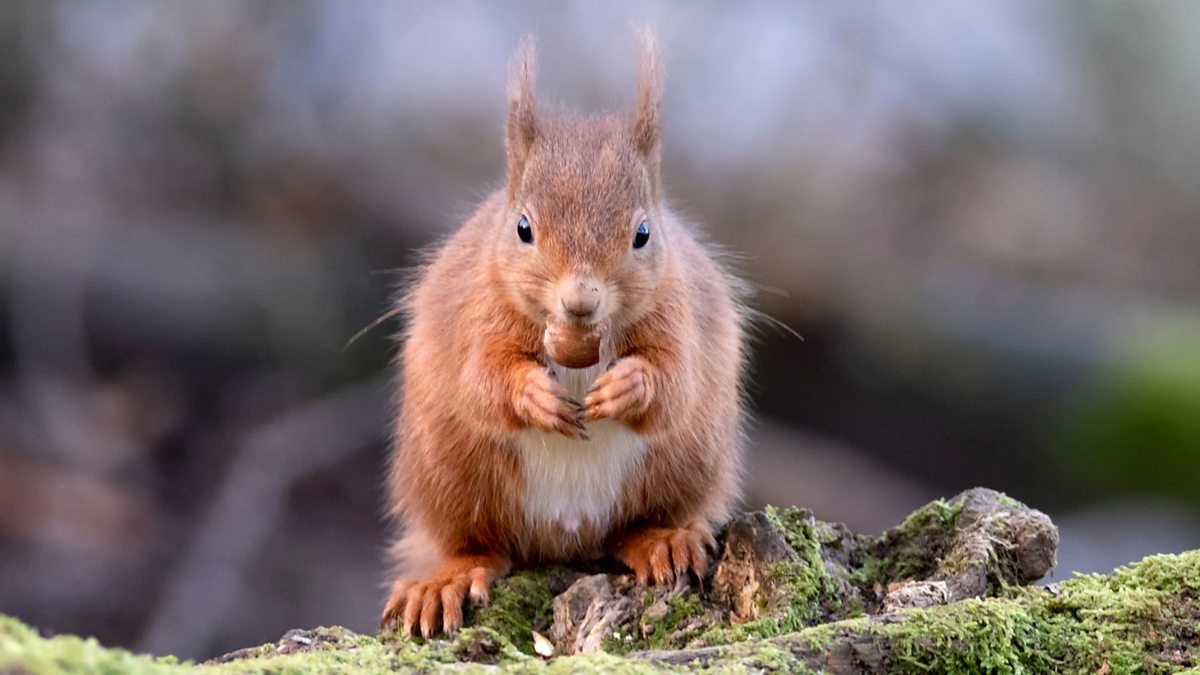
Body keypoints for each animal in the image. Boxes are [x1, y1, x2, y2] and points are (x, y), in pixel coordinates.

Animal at [381, 30, 749, 638]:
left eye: (643, 233)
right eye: (523, 229)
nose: (580, 301)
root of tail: (566, 538)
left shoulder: (682, 317)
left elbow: (676, 382)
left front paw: (629, 387)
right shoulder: (478, 315)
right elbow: (482, 381)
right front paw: (533, 395)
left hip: (683, 463)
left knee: (629, 528)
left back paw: (663, 539)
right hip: (453, 473)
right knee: (478, 544)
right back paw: (447, 580)